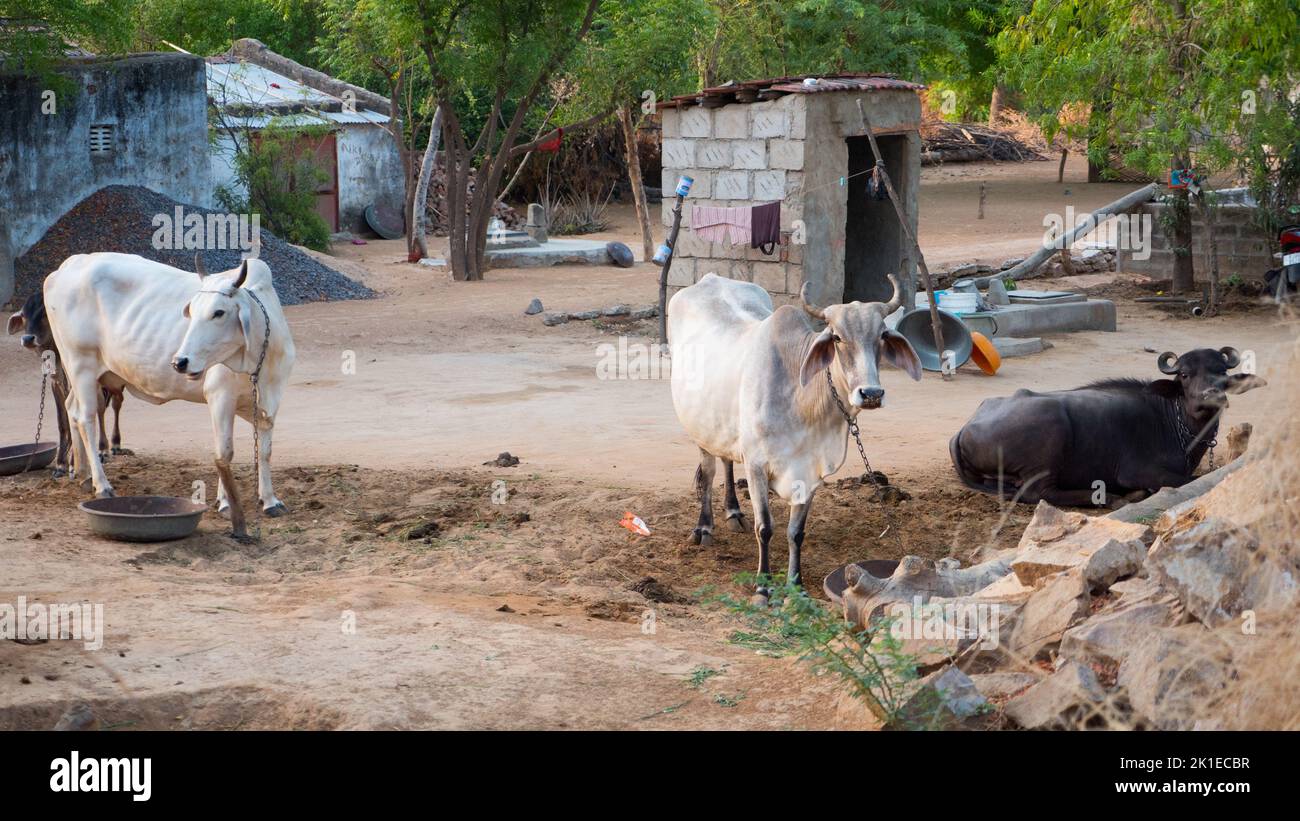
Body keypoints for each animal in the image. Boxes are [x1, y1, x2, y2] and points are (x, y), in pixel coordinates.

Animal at [7, 292, 130, 476]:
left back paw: (110, 445)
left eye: (45, 314)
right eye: (23, 316)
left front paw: (74, 463)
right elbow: (63, 422)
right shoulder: (56, 383)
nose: (27, 338)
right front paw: (61, 464)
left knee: (114, 405)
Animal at [42, 252, 295, 539]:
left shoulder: (269, 403)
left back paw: (83, 474)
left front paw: (270, 501)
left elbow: (264, 451)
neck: (259, 360)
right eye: (192, 311)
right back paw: (101, 484)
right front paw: (227, 504)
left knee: (71, 409)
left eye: (219, 312)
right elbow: (225, 453)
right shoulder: (220, 397)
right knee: (85, 417)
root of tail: (68, 265)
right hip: (80, 364)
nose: (180, 361)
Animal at [669, 272, 923, 603]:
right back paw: (704, 528)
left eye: (881, 335)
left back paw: (734, 512)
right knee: (710, 469)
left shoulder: (811, 471)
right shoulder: (756, 465)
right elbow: (765, 528)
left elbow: (796, 532)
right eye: (836, 337)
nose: (871, 393)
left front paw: (796, 586)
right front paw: (763, 588)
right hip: (699, 428)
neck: (801, 400)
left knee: (726, 460)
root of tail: (709, 278)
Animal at [949, 347, 1267, 507]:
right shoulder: (1137, 471)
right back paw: (1112, 498)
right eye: (1185, 375)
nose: (1210, 396)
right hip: (1050, 435)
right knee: (1037, 492)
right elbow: (1188, 481)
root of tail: (966, 427)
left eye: (1222, 372)